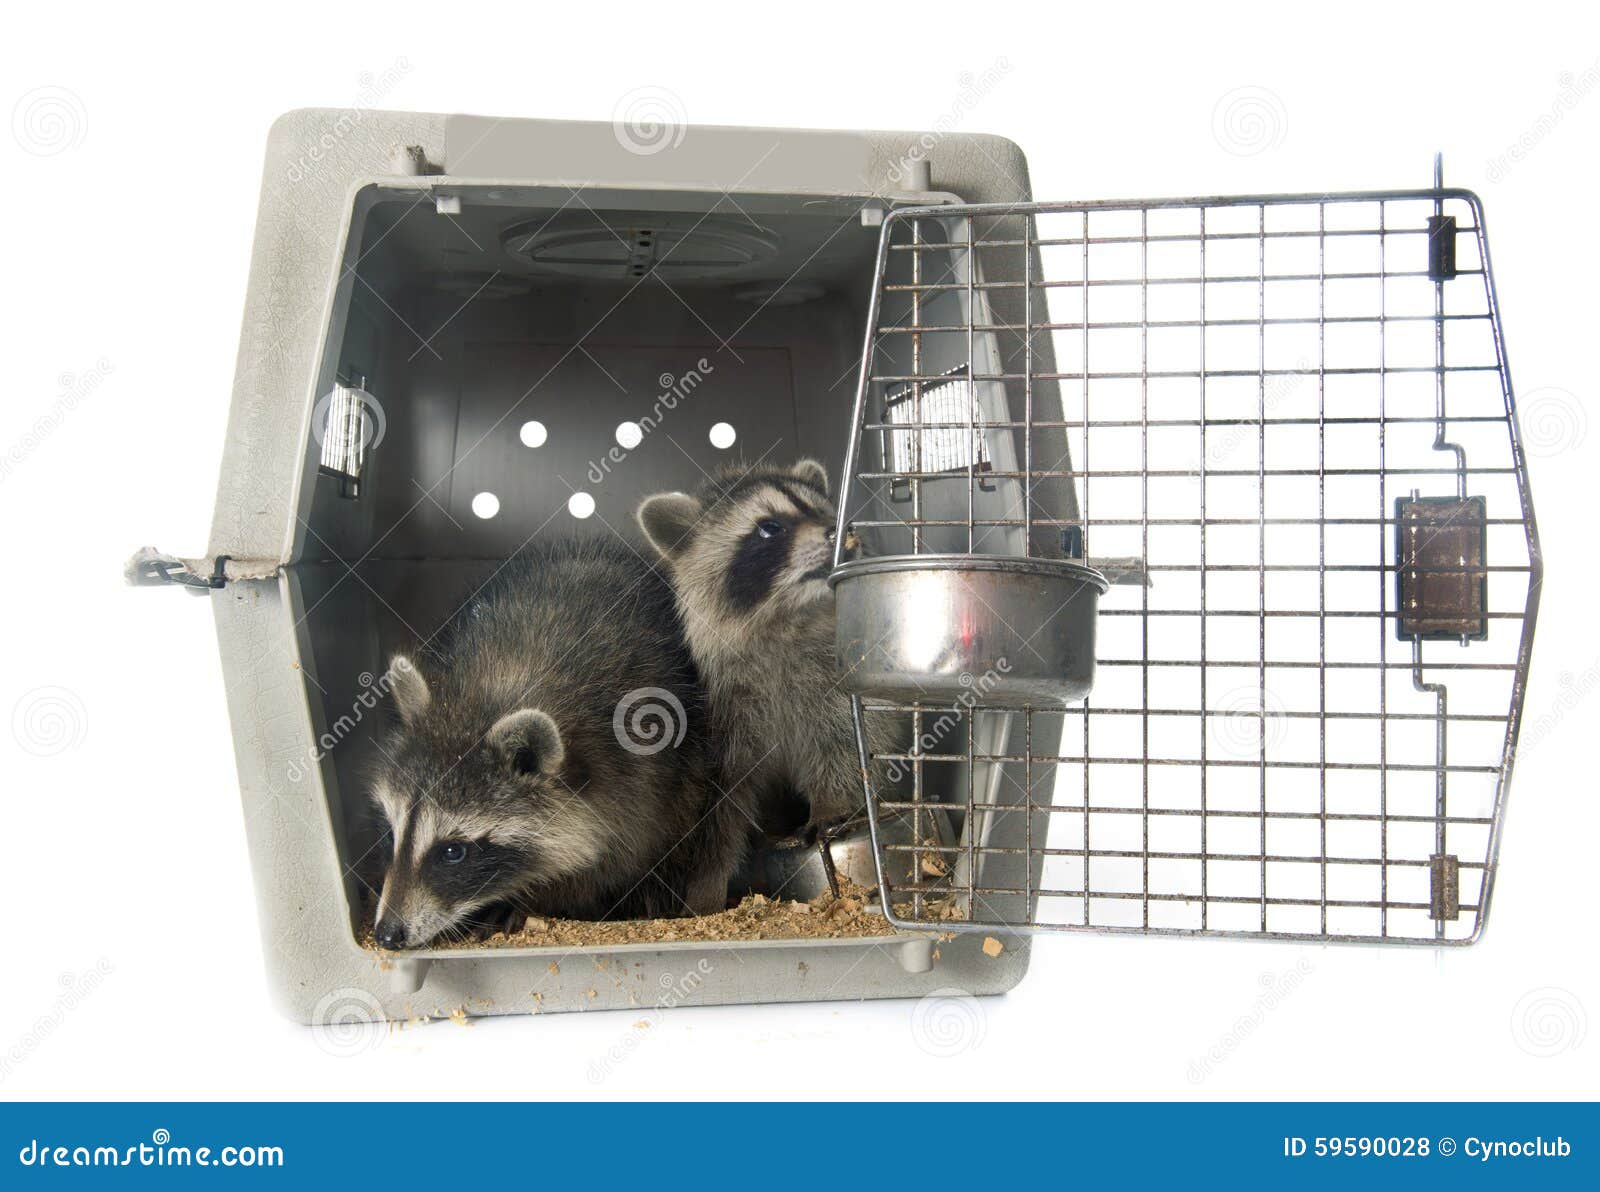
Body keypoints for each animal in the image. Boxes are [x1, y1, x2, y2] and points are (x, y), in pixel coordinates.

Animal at [369, 539, 748, 949]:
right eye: (391, 833)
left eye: (454, 851)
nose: (386, 934)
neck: (494, 692)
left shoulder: (639, 778)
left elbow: (611, 863)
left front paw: (530, 899)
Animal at [636, 459, 888, 836]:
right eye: (769, 529)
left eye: (826, 512)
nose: (840, 529)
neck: (789, 622)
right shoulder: (723, 716)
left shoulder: (836, 679)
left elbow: (846, 745)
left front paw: (832, 803)